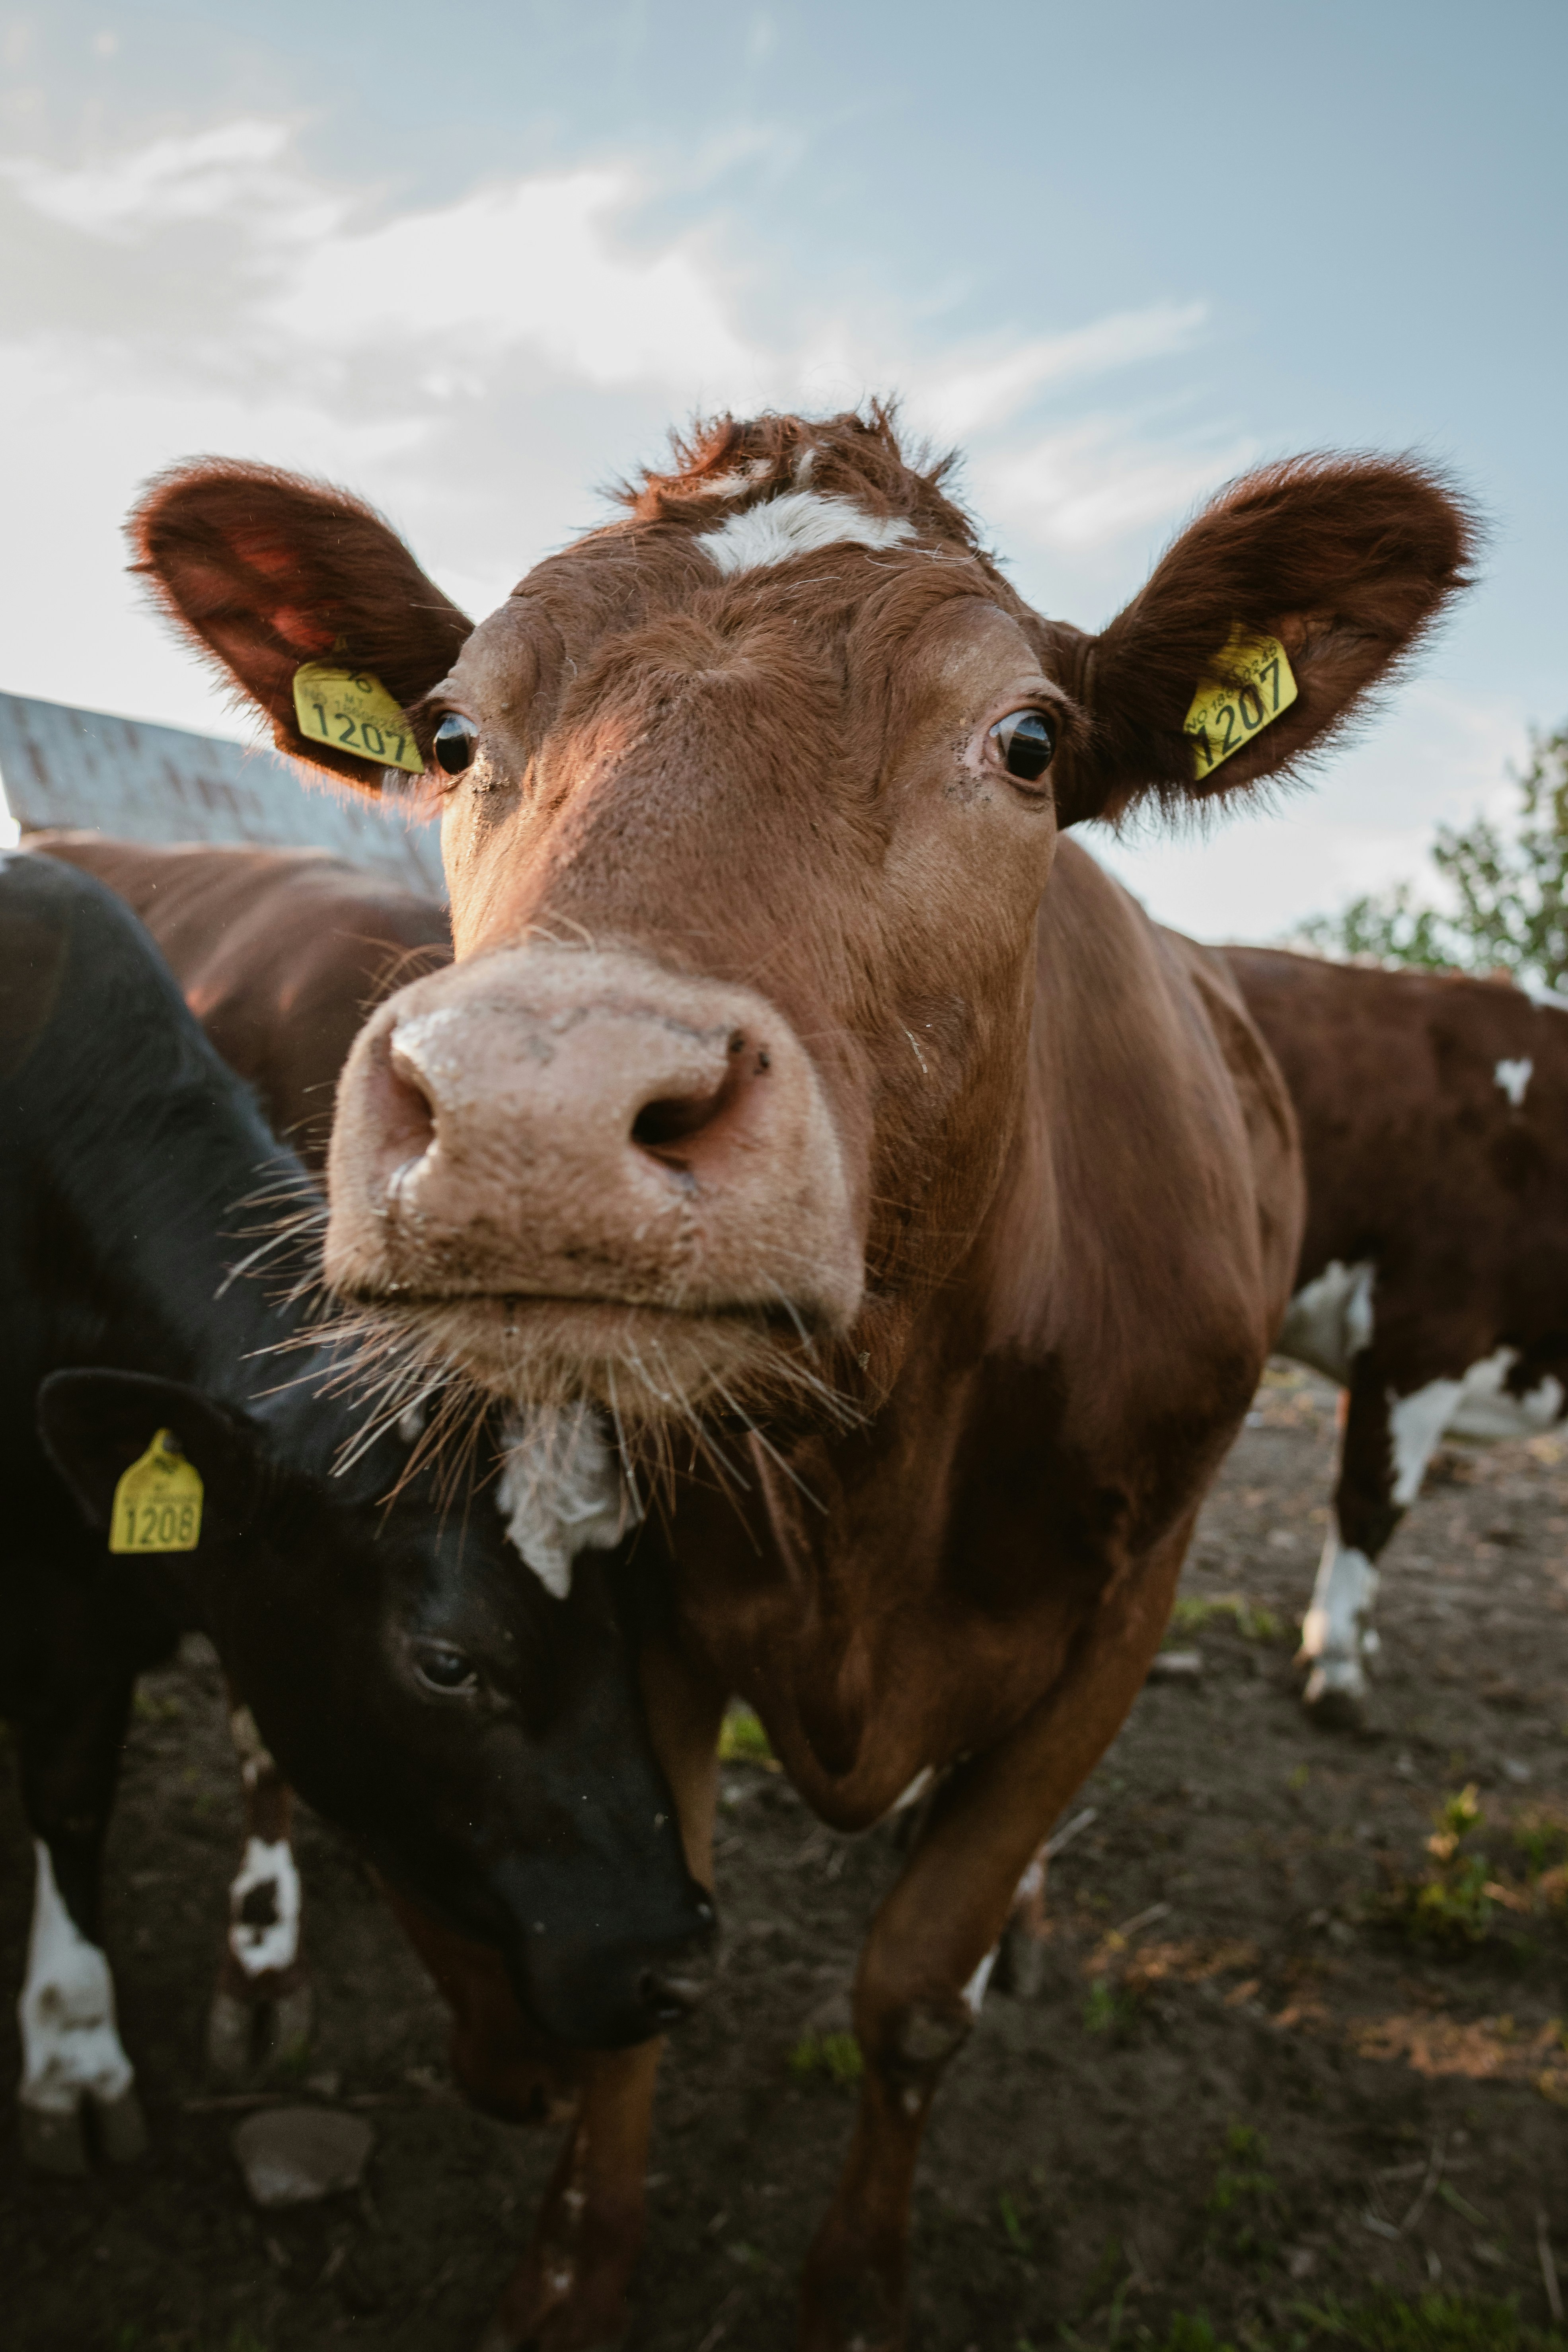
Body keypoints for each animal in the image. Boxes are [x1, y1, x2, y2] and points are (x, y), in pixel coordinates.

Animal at [133, 405, 1471, 2350]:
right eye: (452, 734)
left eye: (1026, 742)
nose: (538, 1108)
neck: (878, 1463)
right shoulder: (639, 1602)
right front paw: (571, 2272)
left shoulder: (1125, 1608)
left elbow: (917, 1985)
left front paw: (853, 2278)